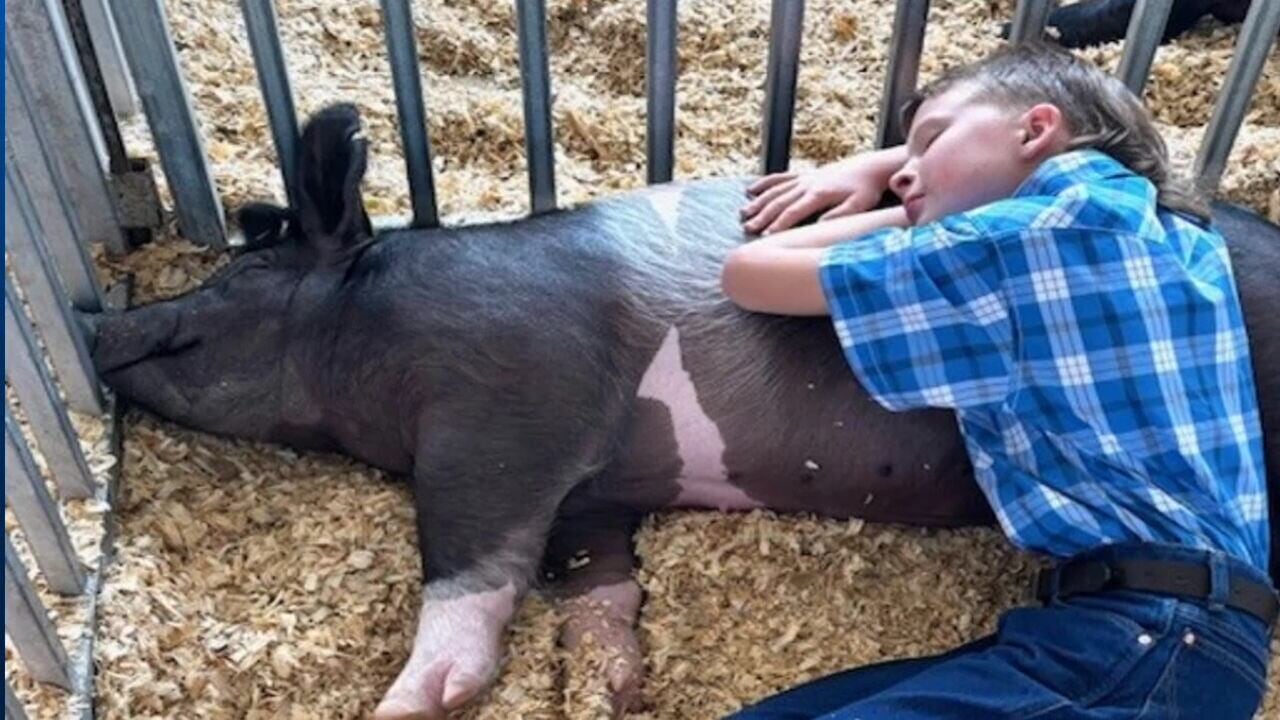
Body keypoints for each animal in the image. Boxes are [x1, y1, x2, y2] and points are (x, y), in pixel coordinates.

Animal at [88, 104, 1280, 719]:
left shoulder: (509, 405)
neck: (376, 337)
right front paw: (613, 689)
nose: (98, 321)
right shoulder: (591, 493)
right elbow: (598, 591)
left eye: (236, 279)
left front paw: (406, 703)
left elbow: (468, 579)